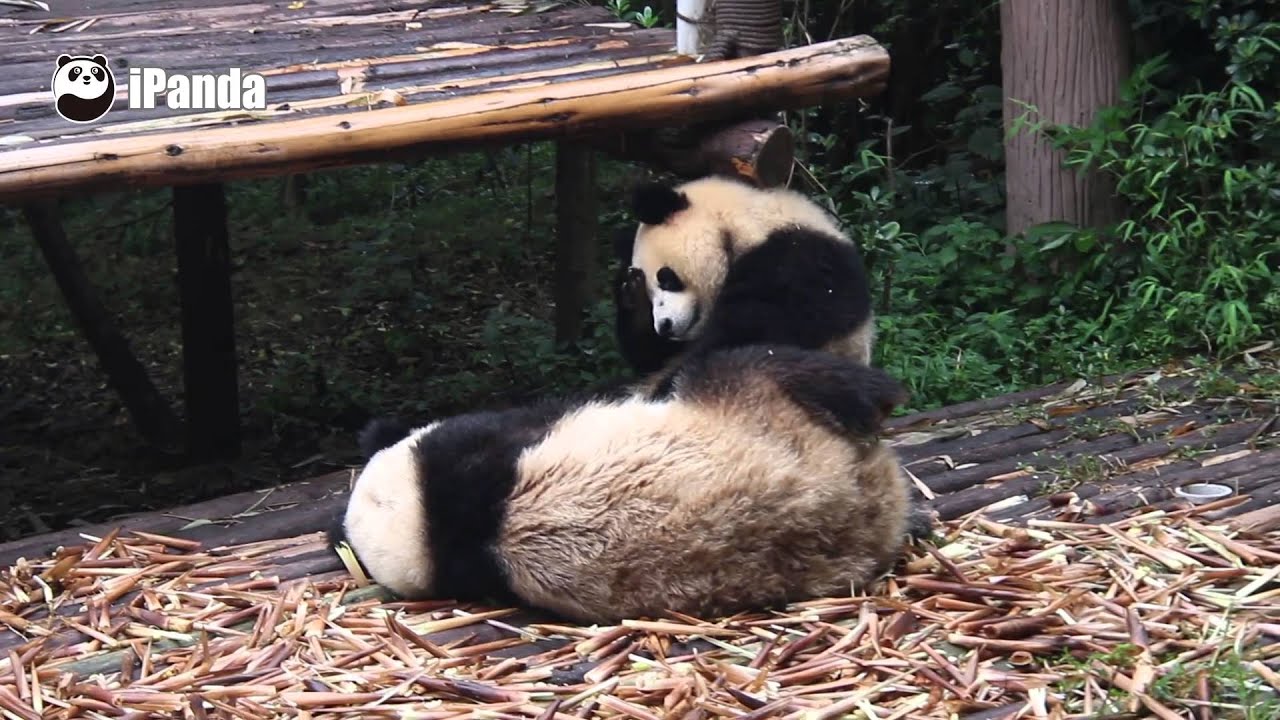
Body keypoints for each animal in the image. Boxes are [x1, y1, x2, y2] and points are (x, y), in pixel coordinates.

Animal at [613, 175, 875, 397]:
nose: (664, 326)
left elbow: (749, 335)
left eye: (666, 278)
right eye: (650, 295)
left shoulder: (799, 265)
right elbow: (654, 358)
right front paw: (633, 295)